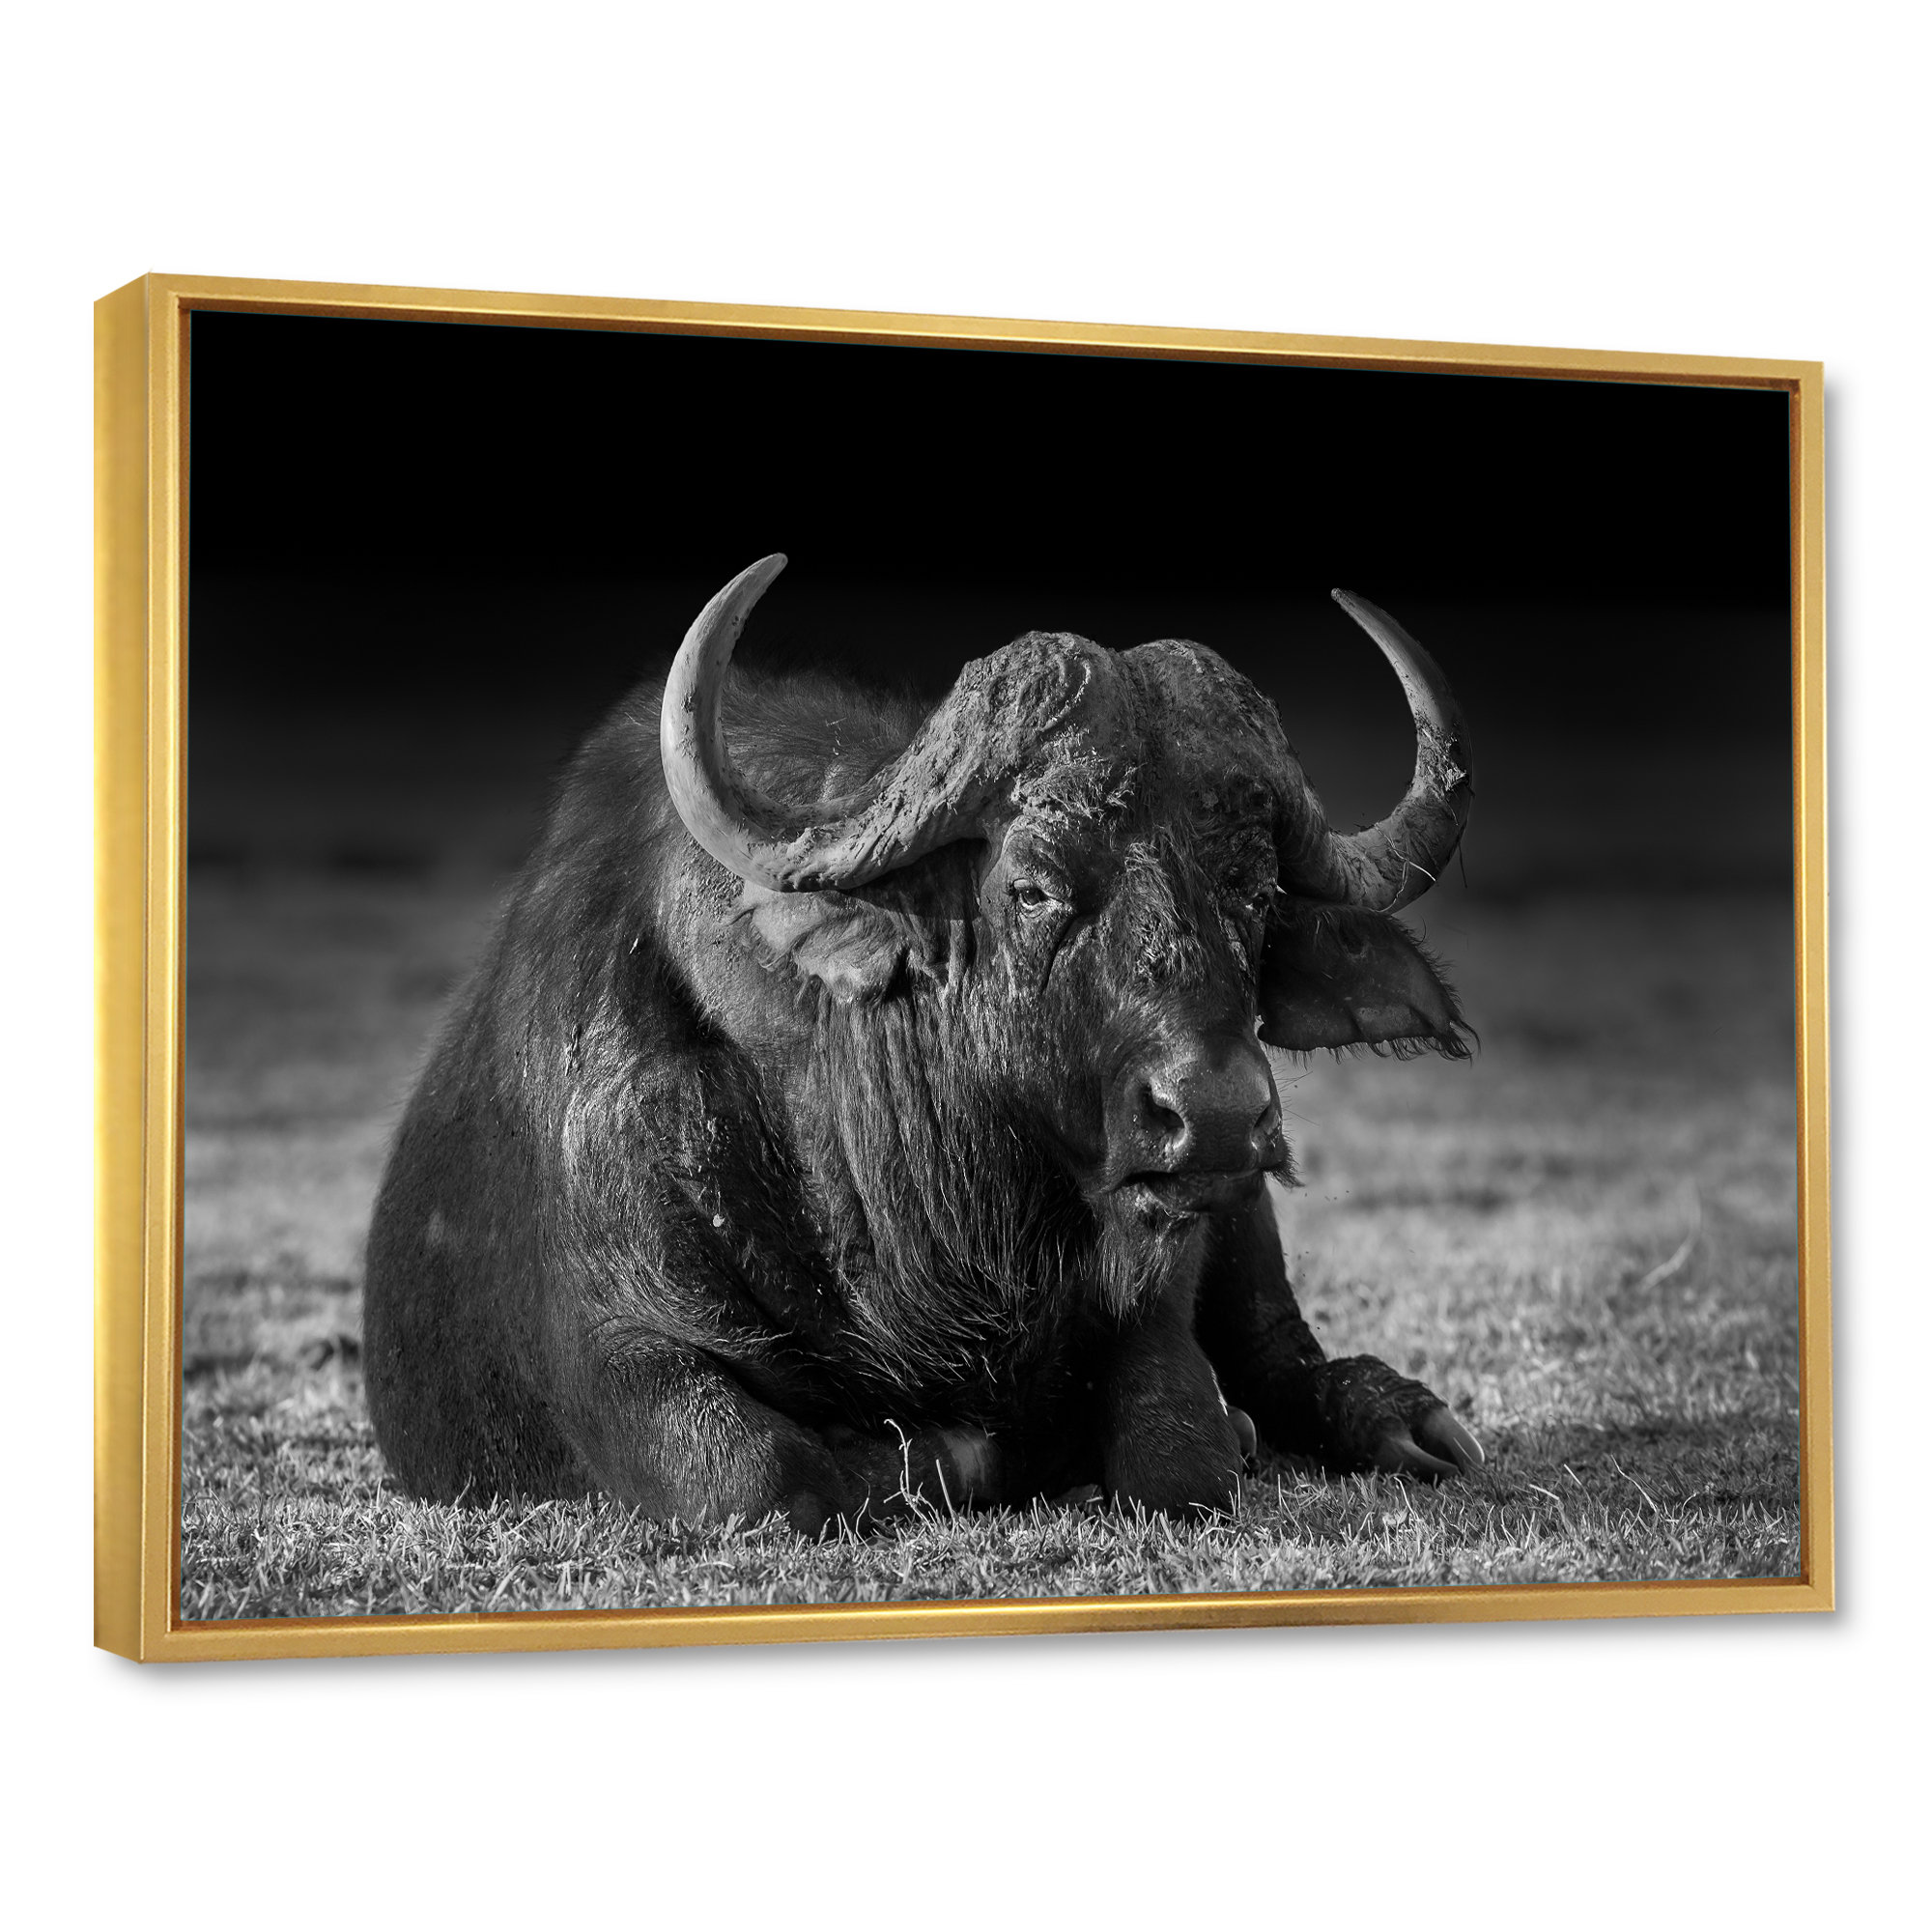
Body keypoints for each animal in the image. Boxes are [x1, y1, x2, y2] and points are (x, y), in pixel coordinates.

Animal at [364, 556, 1483, 1532]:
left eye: (1249, 886)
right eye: (1031, 886)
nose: (1211, 1112)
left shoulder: (1160, 1269)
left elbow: (1180, 1450)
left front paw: (1207, 1434)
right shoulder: (620, 1334)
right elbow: (758, 1474)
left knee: (1282, 1347)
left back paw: (1403, 1420)